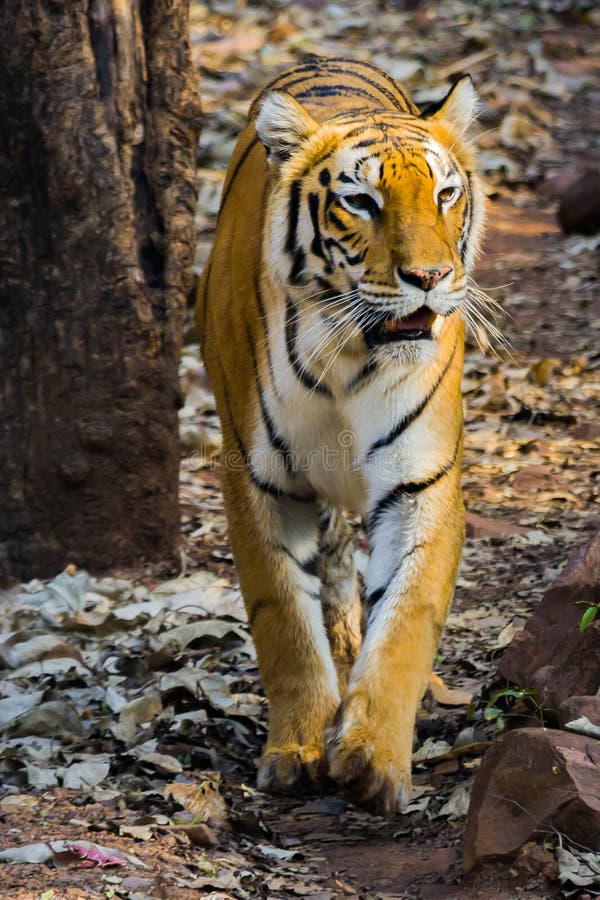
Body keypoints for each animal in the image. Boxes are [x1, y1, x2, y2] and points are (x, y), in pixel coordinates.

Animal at [196, 56, 485, 817]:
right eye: (361, 202)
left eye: (445, 193)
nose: (430, 278)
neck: (352, 356)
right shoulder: (258, 482)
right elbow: (283, 620)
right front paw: (297, 750)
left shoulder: (420, 481)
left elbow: (407, 618)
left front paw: (373, 758)